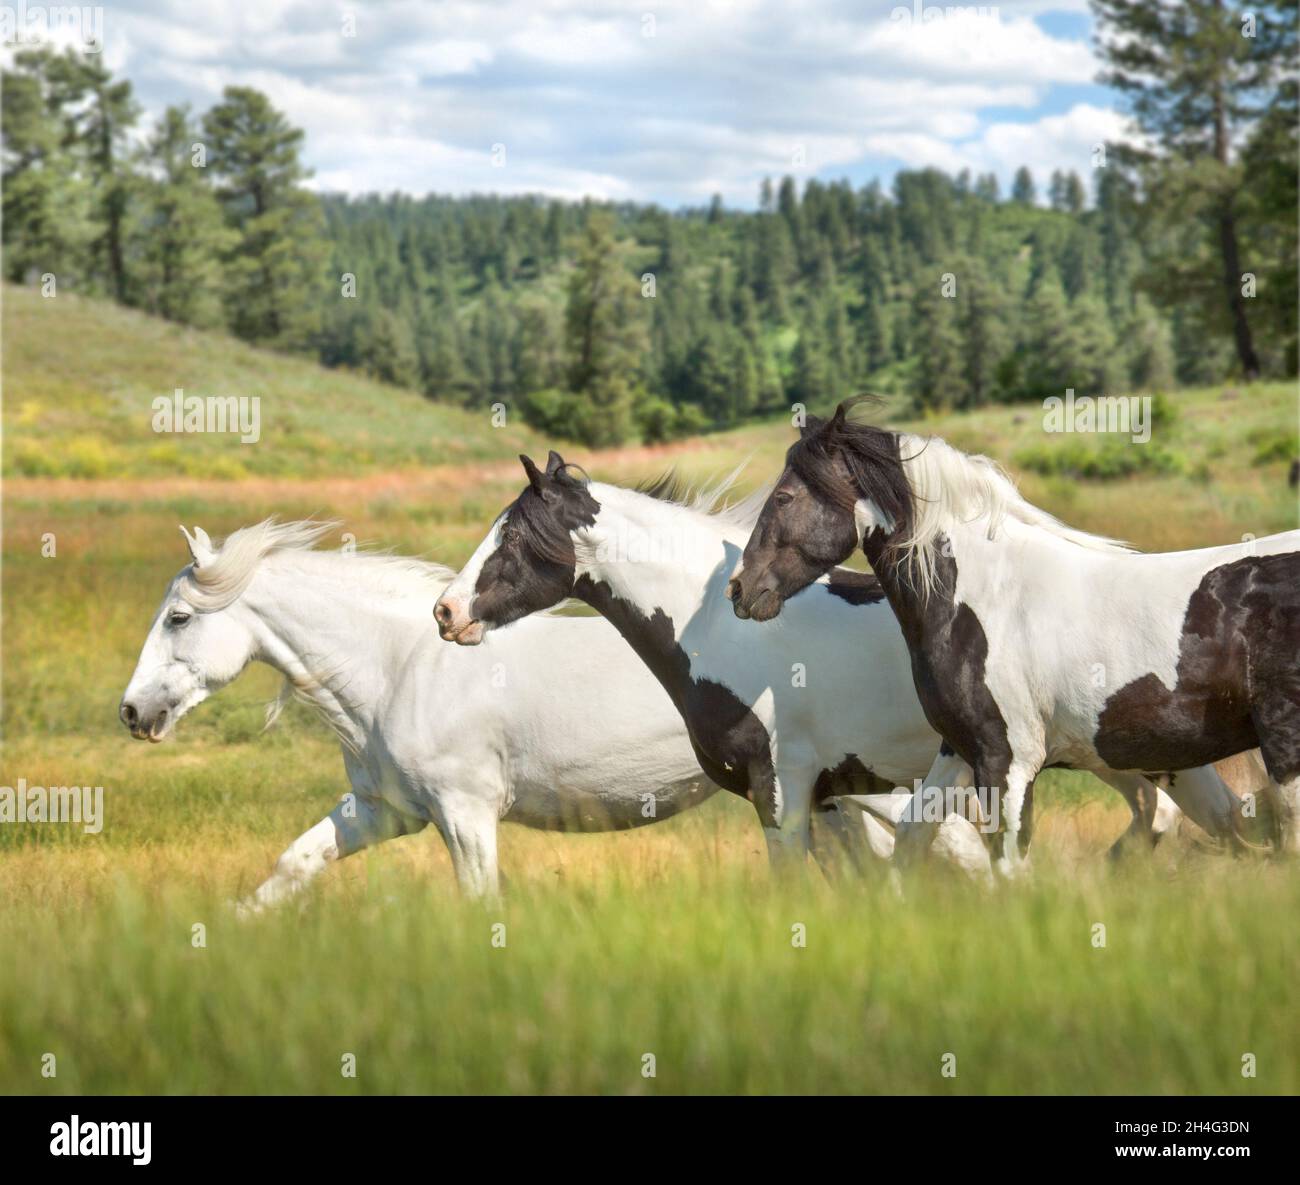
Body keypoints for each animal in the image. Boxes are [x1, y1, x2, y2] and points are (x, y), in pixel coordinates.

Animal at [121, 518, 749, 906]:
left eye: (178, 617)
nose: (132, 711)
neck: (400, 669)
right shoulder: (385, 811)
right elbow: (293, 864)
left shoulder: (465, 814)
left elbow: (480, 902)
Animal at [728, 401, 1298, 873]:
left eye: (783, 497)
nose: (740, 589)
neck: (984, 598)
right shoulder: (961, 750)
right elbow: (913, 838)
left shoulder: (1009, 762)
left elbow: (1008, 863)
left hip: (1283, 747)